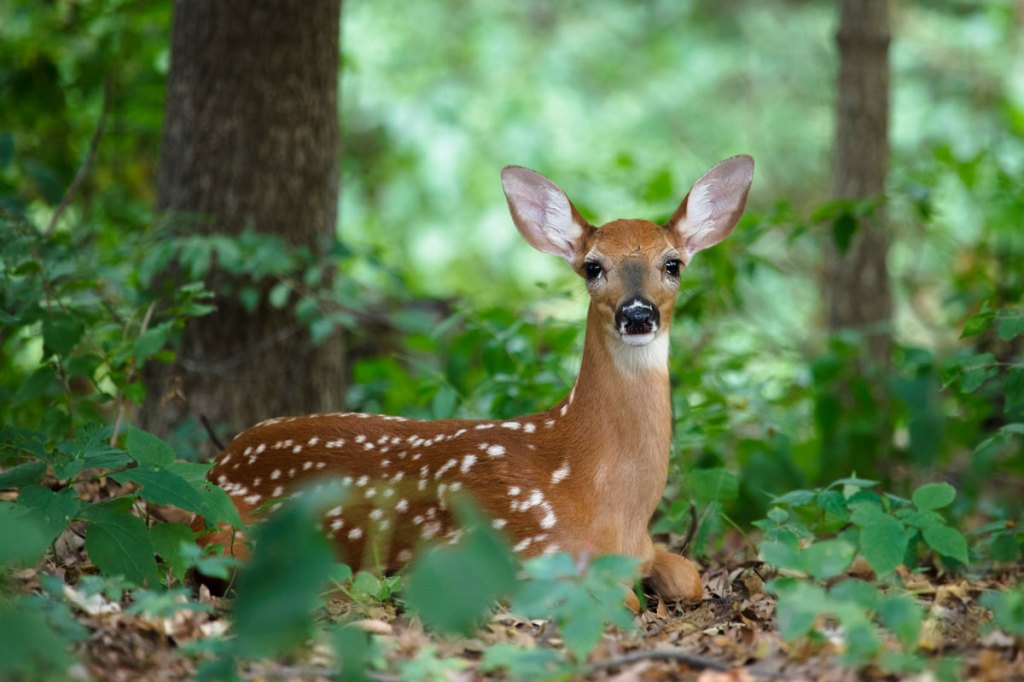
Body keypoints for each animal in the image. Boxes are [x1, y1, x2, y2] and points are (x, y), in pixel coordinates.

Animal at [195, 155, 754, 608]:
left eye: (673, 264)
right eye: (593, 267)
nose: (637, 314)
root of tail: (217, 467)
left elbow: (688, 577)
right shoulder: (520, 554)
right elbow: (625, 601)